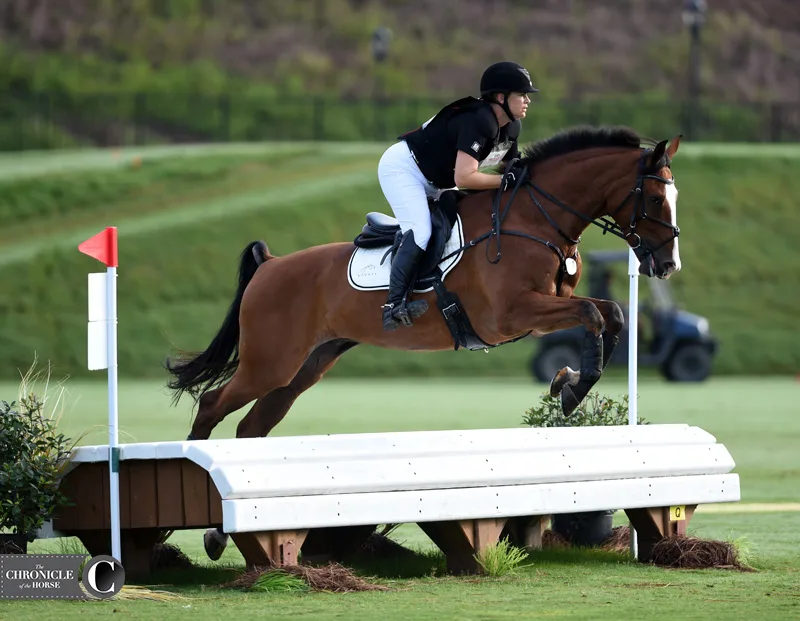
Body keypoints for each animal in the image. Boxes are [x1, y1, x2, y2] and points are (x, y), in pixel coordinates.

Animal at [165, 125, 682, 442]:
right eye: (657, 198)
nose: (668, 264)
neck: (532, 217)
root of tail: (270, 265)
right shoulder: (511, 314)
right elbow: (594, 314)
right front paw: (570, 388)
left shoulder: (545, 307)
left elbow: (610, 313)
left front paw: (568, 383)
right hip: (269, 363)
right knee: (211, 405)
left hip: (303, 368)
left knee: (251, 426)